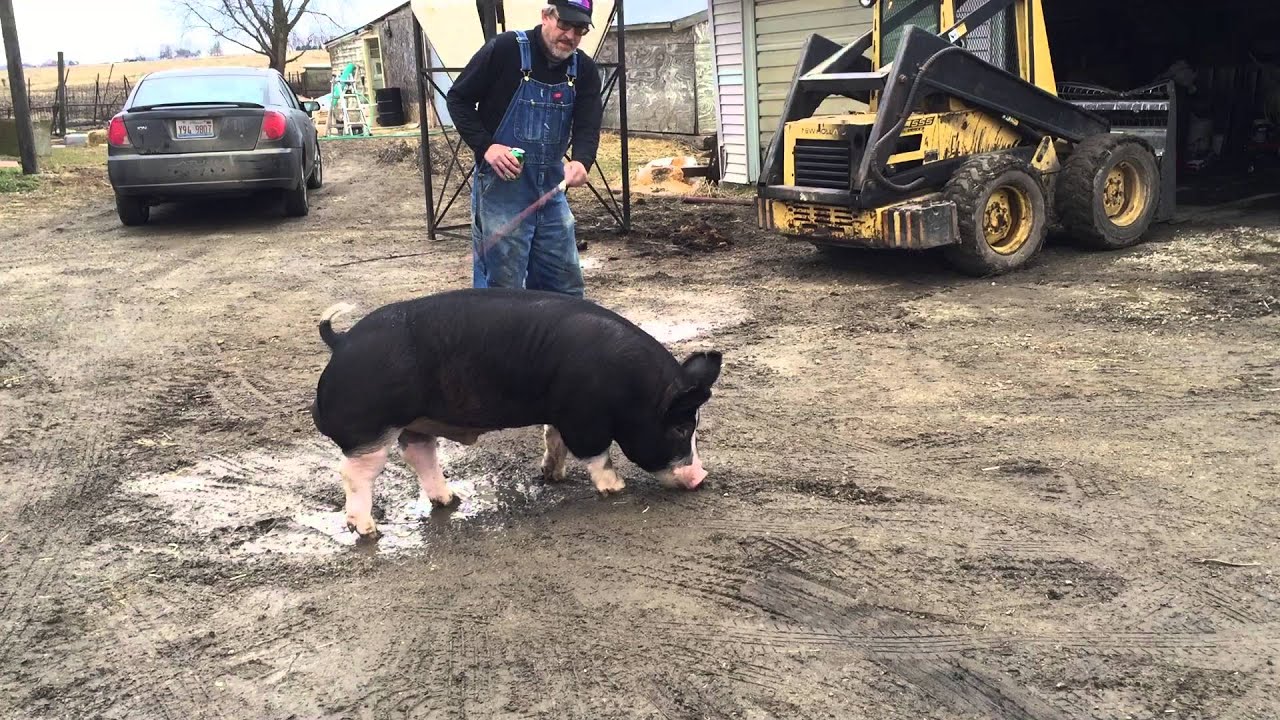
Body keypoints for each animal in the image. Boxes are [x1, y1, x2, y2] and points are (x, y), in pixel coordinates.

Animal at [309, 287, 722, 539]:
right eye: (680, 428)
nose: (701, 477)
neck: (634, 390)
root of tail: (340, 341)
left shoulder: (561, 413)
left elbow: (553, 439)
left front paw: (552, 476)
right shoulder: (584, 417)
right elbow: (596, 454)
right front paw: (615, 487)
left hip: (413, 423)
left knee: (421, 455)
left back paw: (450, 500)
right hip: (371, 427)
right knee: (354, 473)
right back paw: (367, 530)